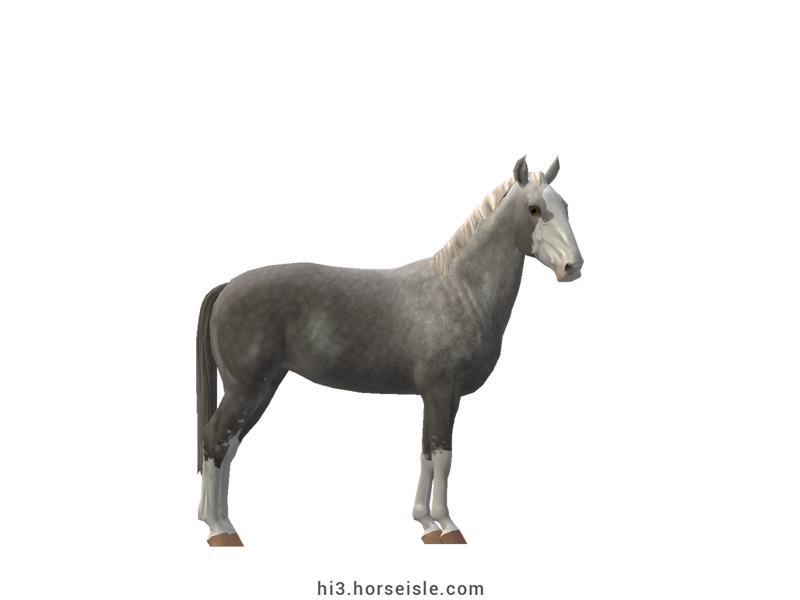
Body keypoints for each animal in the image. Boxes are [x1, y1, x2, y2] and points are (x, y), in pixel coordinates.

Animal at [196, 156, 584, 539]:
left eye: (565, 206)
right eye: (534, 209)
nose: (571, 265)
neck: (462, 291)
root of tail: (227, 288)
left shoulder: (436, 393)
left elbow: (427, 454)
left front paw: (424, 522)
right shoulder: (441, 390)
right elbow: (442, 454)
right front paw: (446, 523)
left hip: (255, 391)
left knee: (227, 444)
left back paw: (220, 520)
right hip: (244, 389)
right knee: (215, 439)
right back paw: (214, 527)